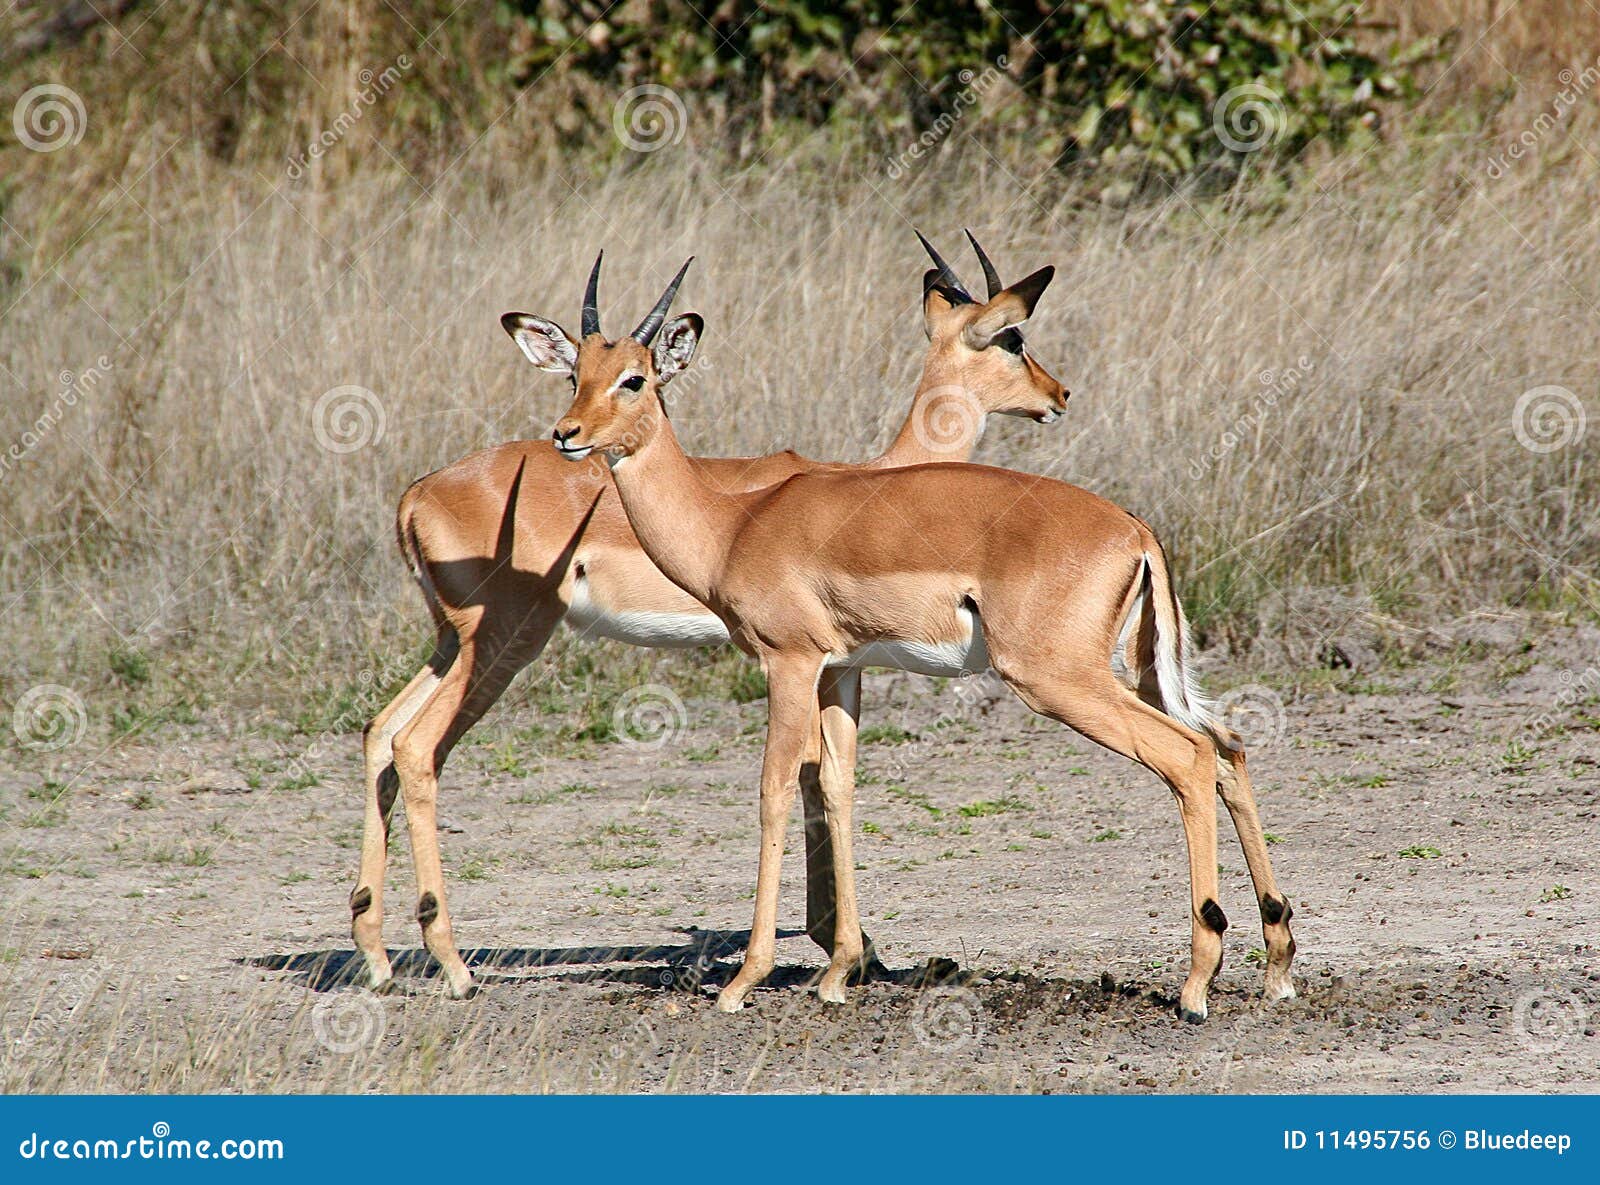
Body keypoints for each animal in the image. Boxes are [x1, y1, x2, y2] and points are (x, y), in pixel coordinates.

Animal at [351, 234, 1070, 998]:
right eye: (1013, 338)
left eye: (622, 376)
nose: (1058, 395)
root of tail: (417, 492)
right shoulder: (799, 662)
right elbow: (806, 776)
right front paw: (842, 950)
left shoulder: (830, 667)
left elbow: (827, 779)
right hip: (501, 640)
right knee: (416, 747)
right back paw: (454, 966)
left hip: (450, 643)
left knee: (380, 733)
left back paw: (376, 955)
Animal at [535, 253, 1297, 1021]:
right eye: (577, 376)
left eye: (635, 378)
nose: (567, 433)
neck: (735, 523)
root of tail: (1136, 530)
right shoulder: (840, 670)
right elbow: (836, 785)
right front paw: (839, 971)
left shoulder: (789, 662)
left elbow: (775, 786)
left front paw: (744, 980)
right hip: (1140, 672)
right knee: (1227, 746)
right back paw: (1277, 962)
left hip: (1060, 680)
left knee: (1189, 756)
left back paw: (1198, 982)